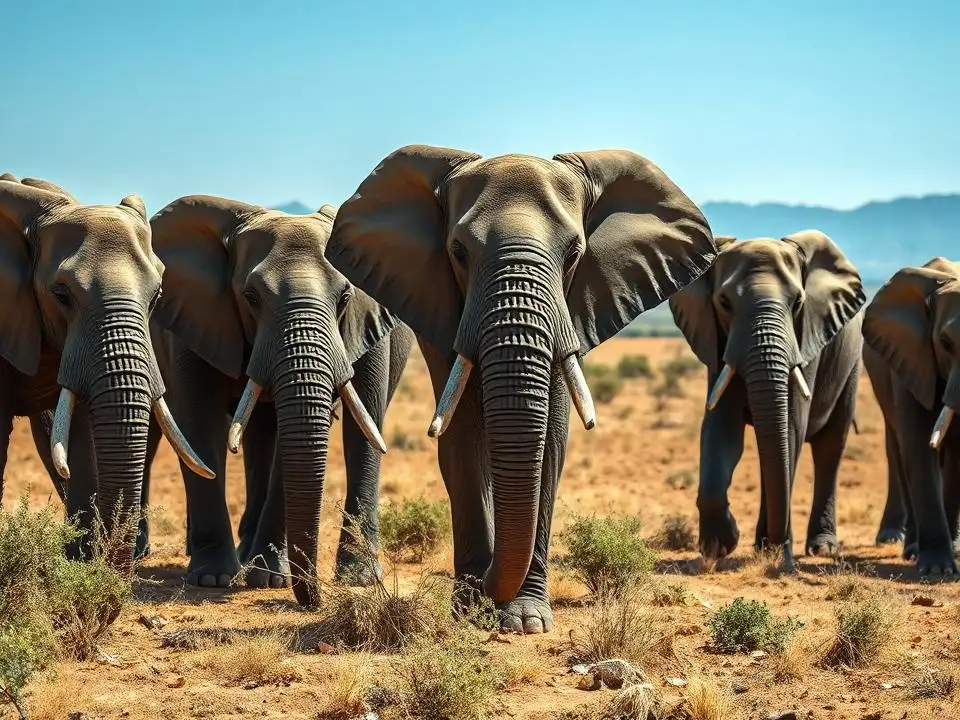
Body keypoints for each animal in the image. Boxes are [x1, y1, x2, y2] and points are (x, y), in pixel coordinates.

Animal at [145, 195, 413, 605]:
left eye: (345, 297)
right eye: (251, 297)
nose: (312, 598)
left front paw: (271, 579)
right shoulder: (195, 319)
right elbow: (199, 420)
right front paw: (211, 579)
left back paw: (355, 577)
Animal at [325, 144, 717, 633]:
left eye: (574, 252)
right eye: (458, 251)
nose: (487, 593)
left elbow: (551, 439)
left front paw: (525, 621)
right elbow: (462, 435)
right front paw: (471, 613)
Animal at [668, 232, 866, 570]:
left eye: (798, 303)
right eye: (724, 303)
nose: (781, 552)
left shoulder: (804, 340)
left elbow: (791, 429)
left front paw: (777, 553)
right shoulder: (717, 343)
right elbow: (721, 427)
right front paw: (719, 546)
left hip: (851, 362)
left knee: (829, 447)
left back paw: (820, 548)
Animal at [861, 257, 960, 578]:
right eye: (945, 343)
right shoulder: (911, 360)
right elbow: (917, 444)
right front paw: (937, 571)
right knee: (899, 452)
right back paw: (911, 549)